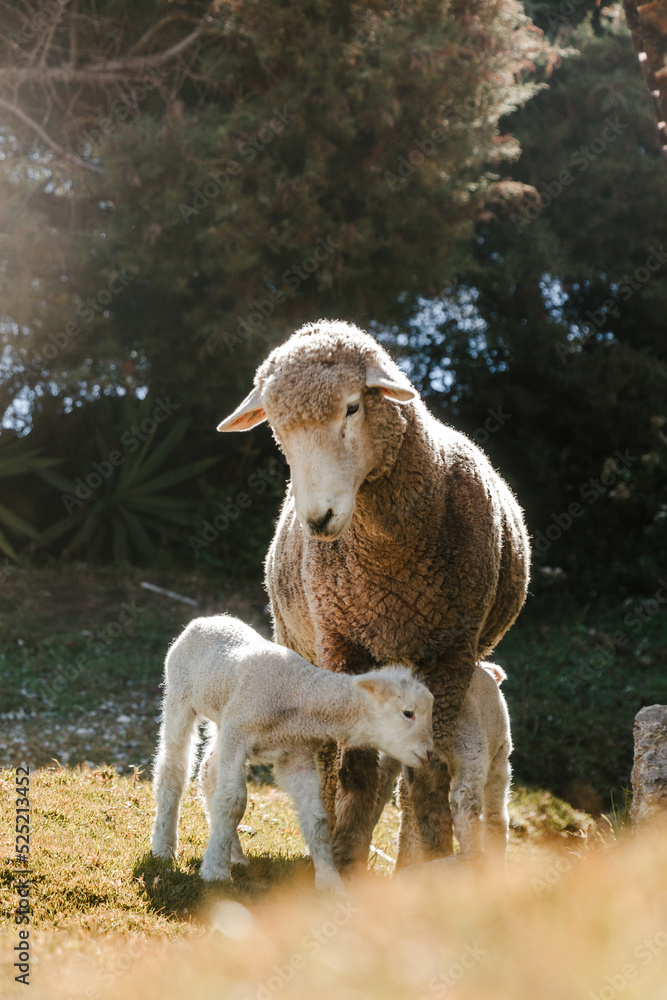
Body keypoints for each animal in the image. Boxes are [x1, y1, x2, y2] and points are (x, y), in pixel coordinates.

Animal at [150, 614, 434, 891]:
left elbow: (316, 817)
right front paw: (216, 873)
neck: (299, 693)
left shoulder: (296, 756)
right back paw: (164, 847)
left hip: (223, 719)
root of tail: (206, 619)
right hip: (180, 697)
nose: (429, 753)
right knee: (173, 768)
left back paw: (235, 854)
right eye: (408, 713)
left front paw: (330, 881)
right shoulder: (238, 734)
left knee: (208, 772)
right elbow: (232, 801)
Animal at [375, 662, 512, 860]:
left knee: (381, 782)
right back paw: (472, 856)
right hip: (472, 749)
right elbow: (497, 820)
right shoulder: (499, 762)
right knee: (465, 804)